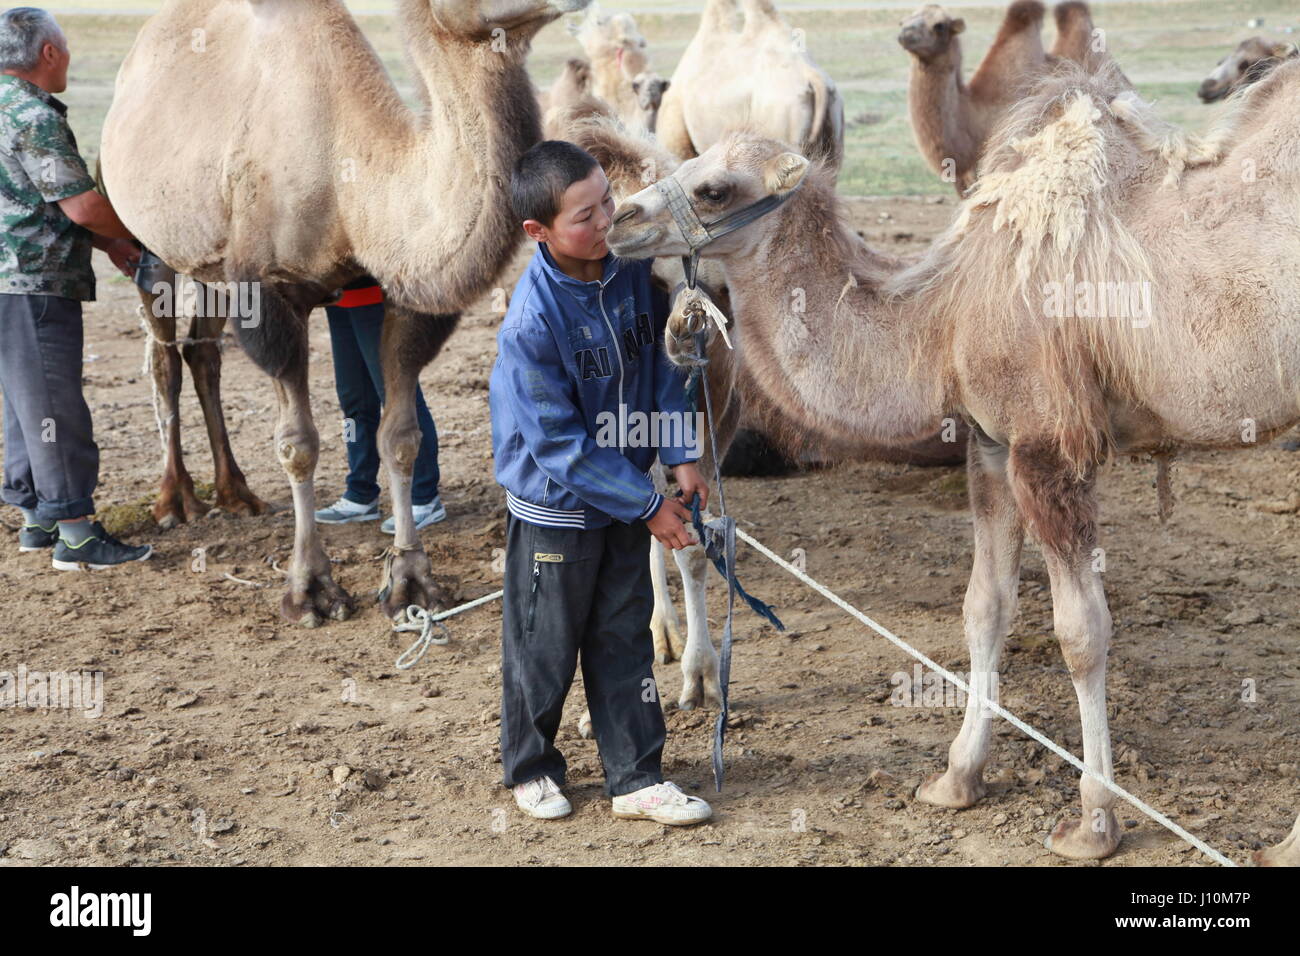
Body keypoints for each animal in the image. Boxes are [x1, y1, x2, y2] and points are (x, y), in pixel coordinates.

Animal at [101, 0, 589, 626]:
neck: (350, 179)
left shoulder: (397, 296)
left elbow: (401, 435)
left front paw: (412, 581)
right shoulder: (267, 291)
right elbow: (299, 445)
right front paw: (309, 588)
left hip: (212, 269)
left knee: (202, 352)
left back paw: (236, 494)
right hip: (149, 241)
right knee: (163, 355)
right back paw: (174, 500)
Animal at [606, 58, 1300, 864]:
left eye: (716, 188)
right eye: (685, 162)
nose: (620, 219)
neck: (944, 314)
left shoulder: (1047, 445)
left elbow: (1081, 632)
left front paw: (1094, 821)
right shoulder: (993, 445)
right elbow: (984, 607)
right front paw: (956, 778)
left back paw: (1283, 845)